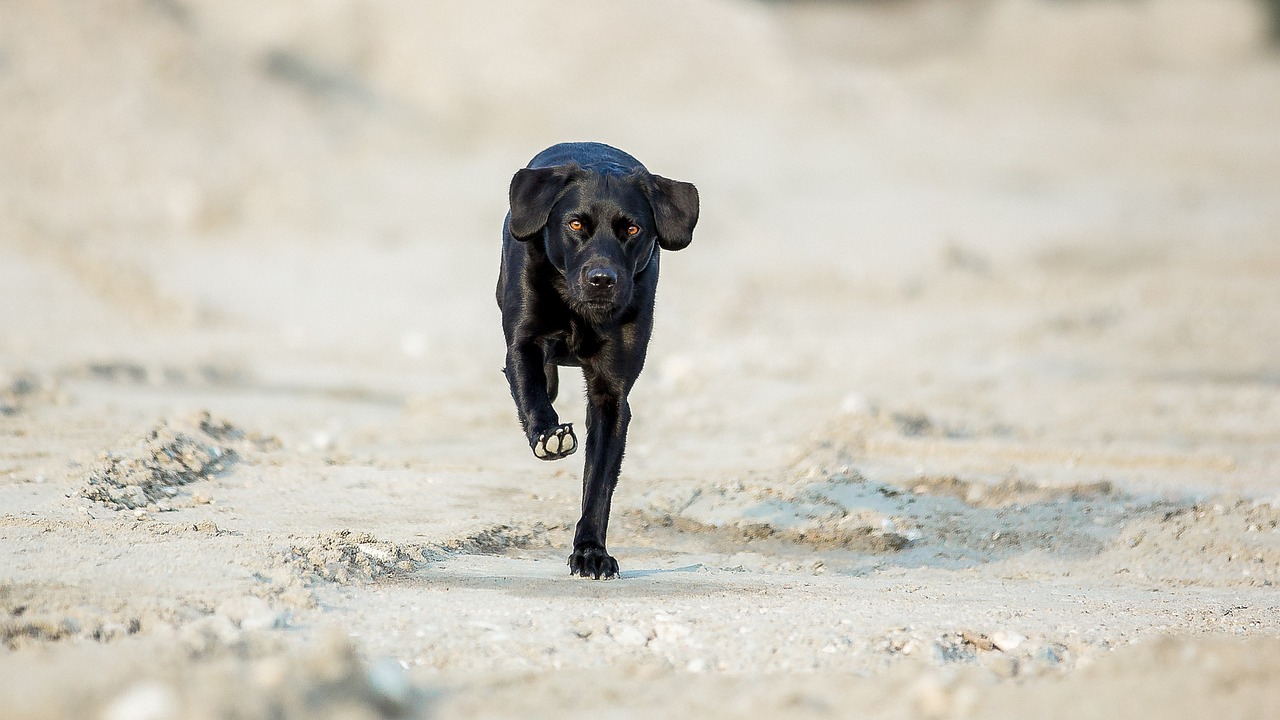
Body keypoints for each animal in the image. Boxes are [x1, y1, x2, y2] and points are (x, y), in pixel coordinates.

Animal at [499, 141, 701, 576]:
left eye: (633, 229)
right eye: (575, 225)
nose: (602, 280)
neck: (580, 312)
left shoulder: (612, 395)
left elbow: (598, 482)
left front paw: (590, 551)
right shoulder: (523, 341)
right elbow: (531, 387)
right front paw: (549, 434)